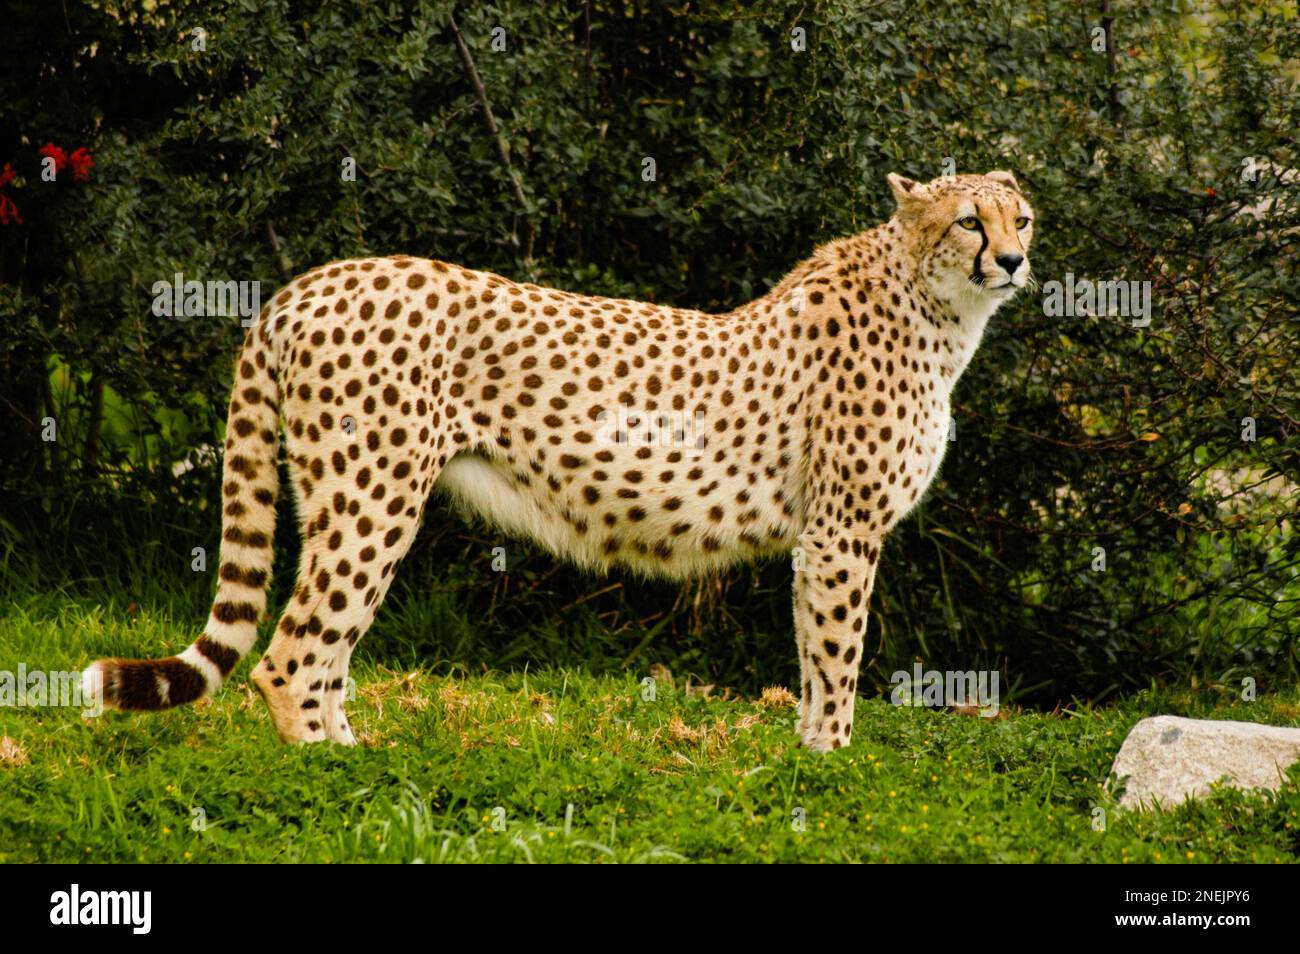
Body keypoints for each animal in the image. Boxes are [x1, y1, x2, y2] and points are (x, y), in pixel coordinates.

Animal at [84, 170, 1035, 752]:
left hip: (350, 500)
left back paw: (364, 757)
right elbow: (837, 658)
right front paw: (831, 764)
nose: (1016, 260)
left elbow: (813, 658)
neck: (934, 302)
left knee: (326, 656)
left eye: (1018, 217)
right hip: (374, 498)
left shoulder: (826, 537)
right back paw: (330, 774)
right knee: (292, 657)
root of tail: (305, 283)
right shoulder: (841, 533)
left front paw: (810, 756)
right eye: (968, 221)